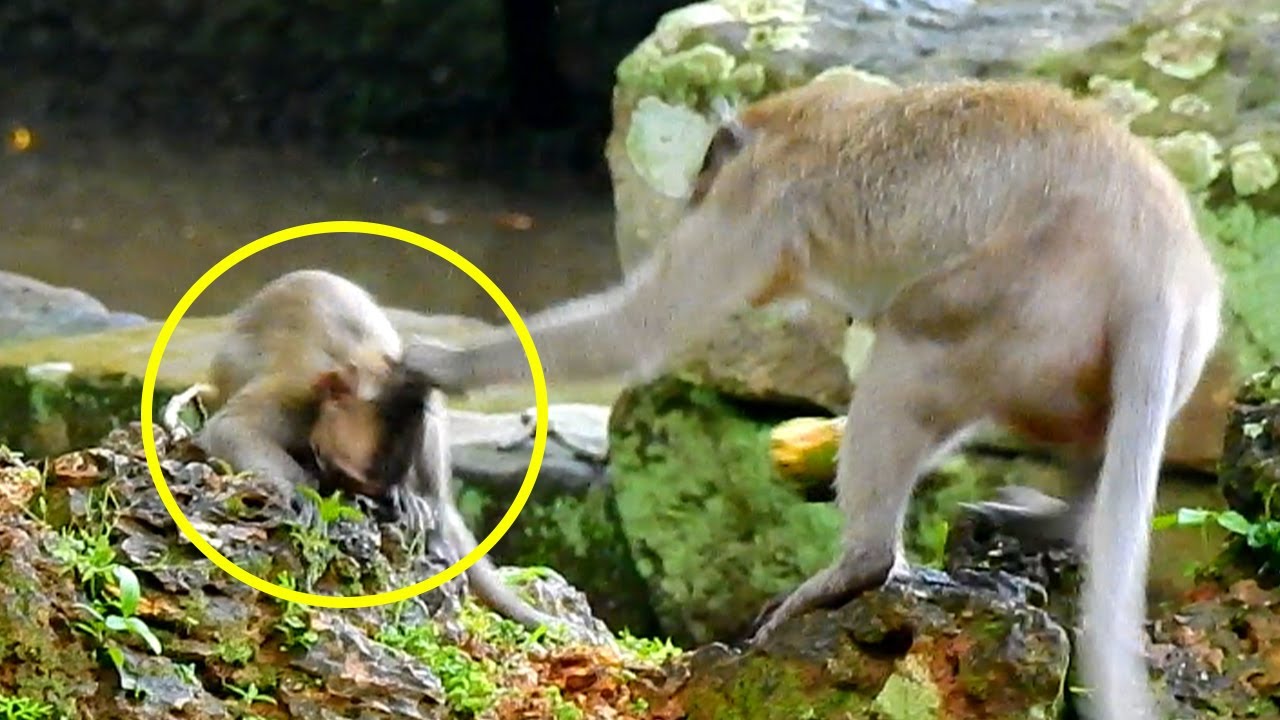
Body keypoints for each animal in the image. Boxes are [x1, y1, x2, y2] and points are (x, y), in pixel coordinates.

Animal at [400, 74, 1224, 720]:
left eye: (704, 181)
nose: (692, 197)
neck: (790, 120)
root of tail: (1160, 265)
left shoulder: (756, 206)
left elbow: (643, 330)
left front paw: (437, 364)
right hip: (1108, 350)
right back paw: (1066, 515)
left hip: (1016, 305)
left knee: (908, 353)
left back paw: (858, 567)